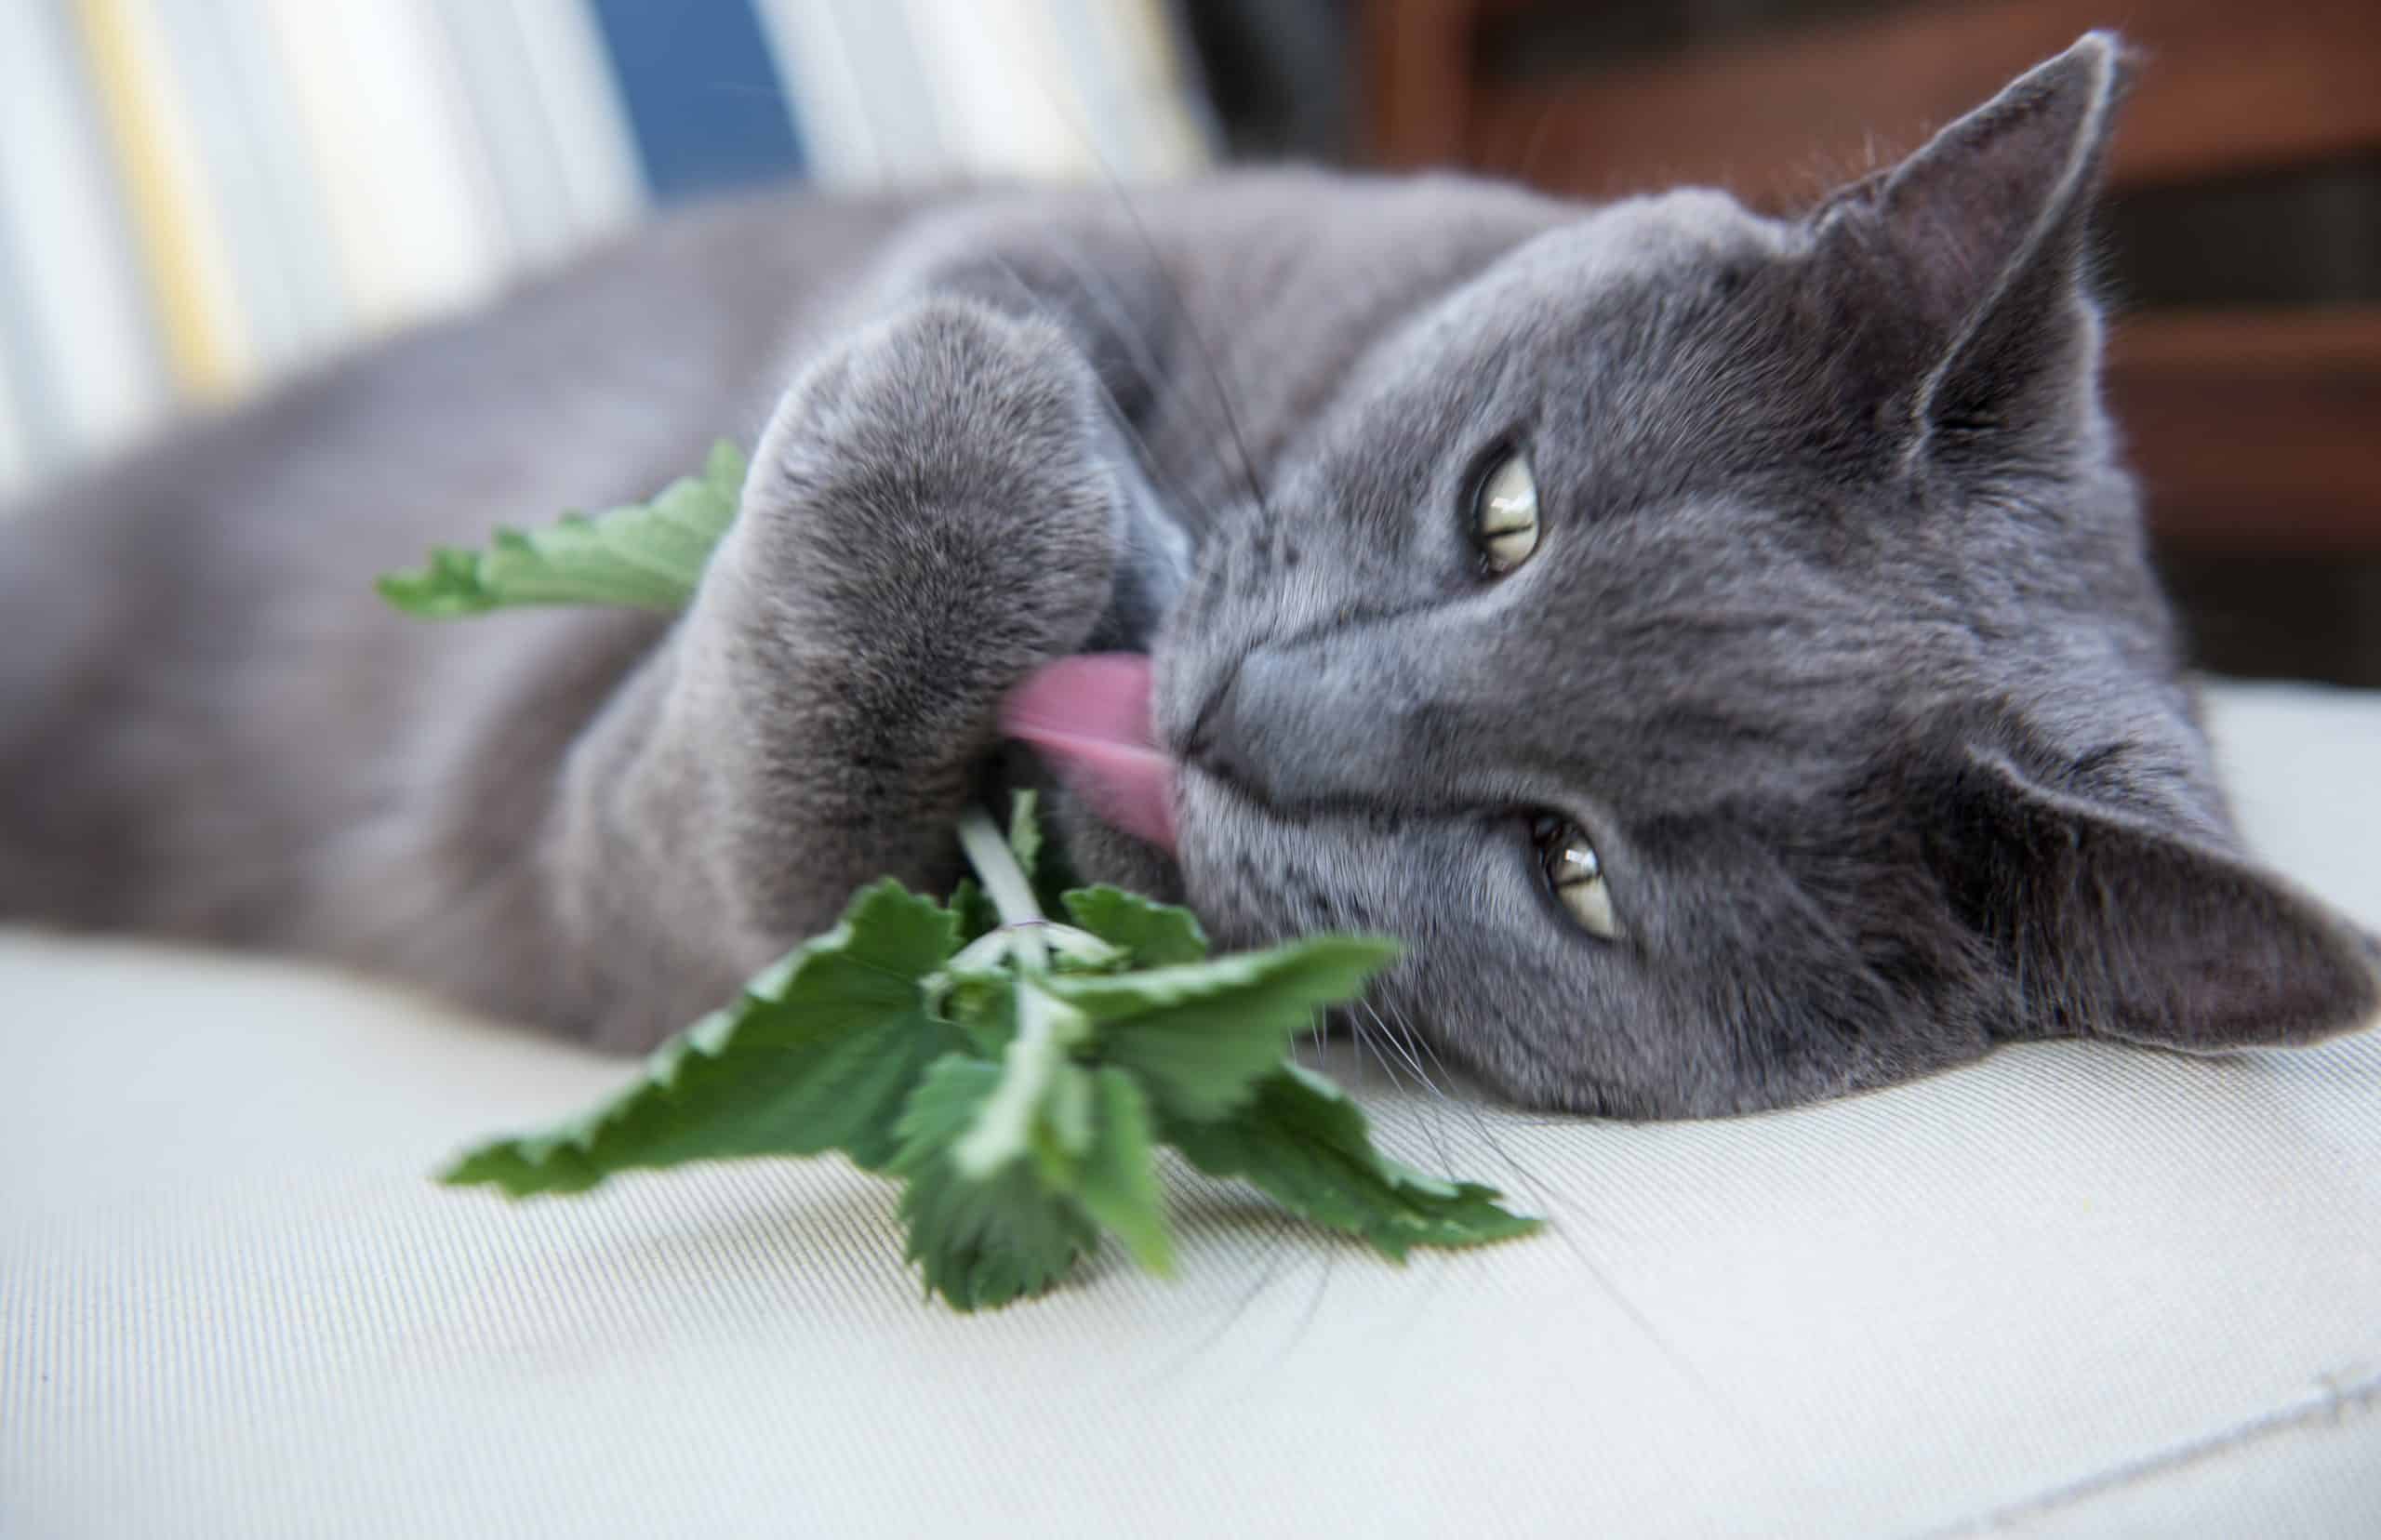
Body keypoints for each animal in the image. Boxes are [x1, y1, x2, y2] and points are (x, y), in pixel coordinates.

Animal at [2, 32, 2374, 1118]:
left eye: (1571, 870)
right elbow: (966, 282)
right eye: (1504, 506)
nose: (1233, 719)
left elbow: (734, 833)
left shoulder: (597, 872)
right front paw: (1044, 456)